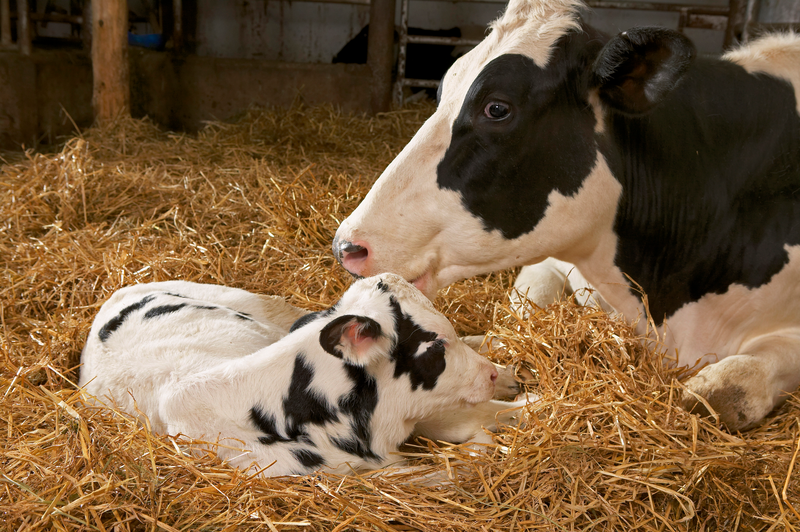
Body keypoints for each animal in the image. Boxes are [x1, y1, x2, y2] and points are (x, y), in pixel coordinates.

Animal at [331, 0, 800, 431]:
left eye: (496, 108)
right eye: (444, 88)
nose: (347, 246)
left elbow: (723, 390)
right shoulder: (556, 258)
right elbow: (514, 324)